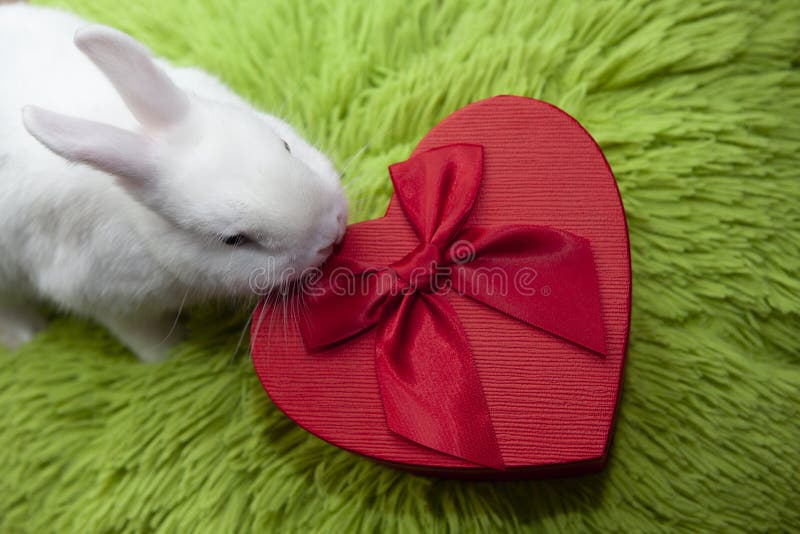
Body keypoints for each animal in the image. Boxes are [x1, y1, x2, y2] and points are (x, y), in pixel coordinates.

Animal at [0, 4, 348, 362]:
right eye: (234, 240)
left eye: (285, 145)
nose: (332, 231)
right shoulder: (106, 299)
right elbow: (144, 336)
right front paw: (171, 355)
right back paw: (23, 336)